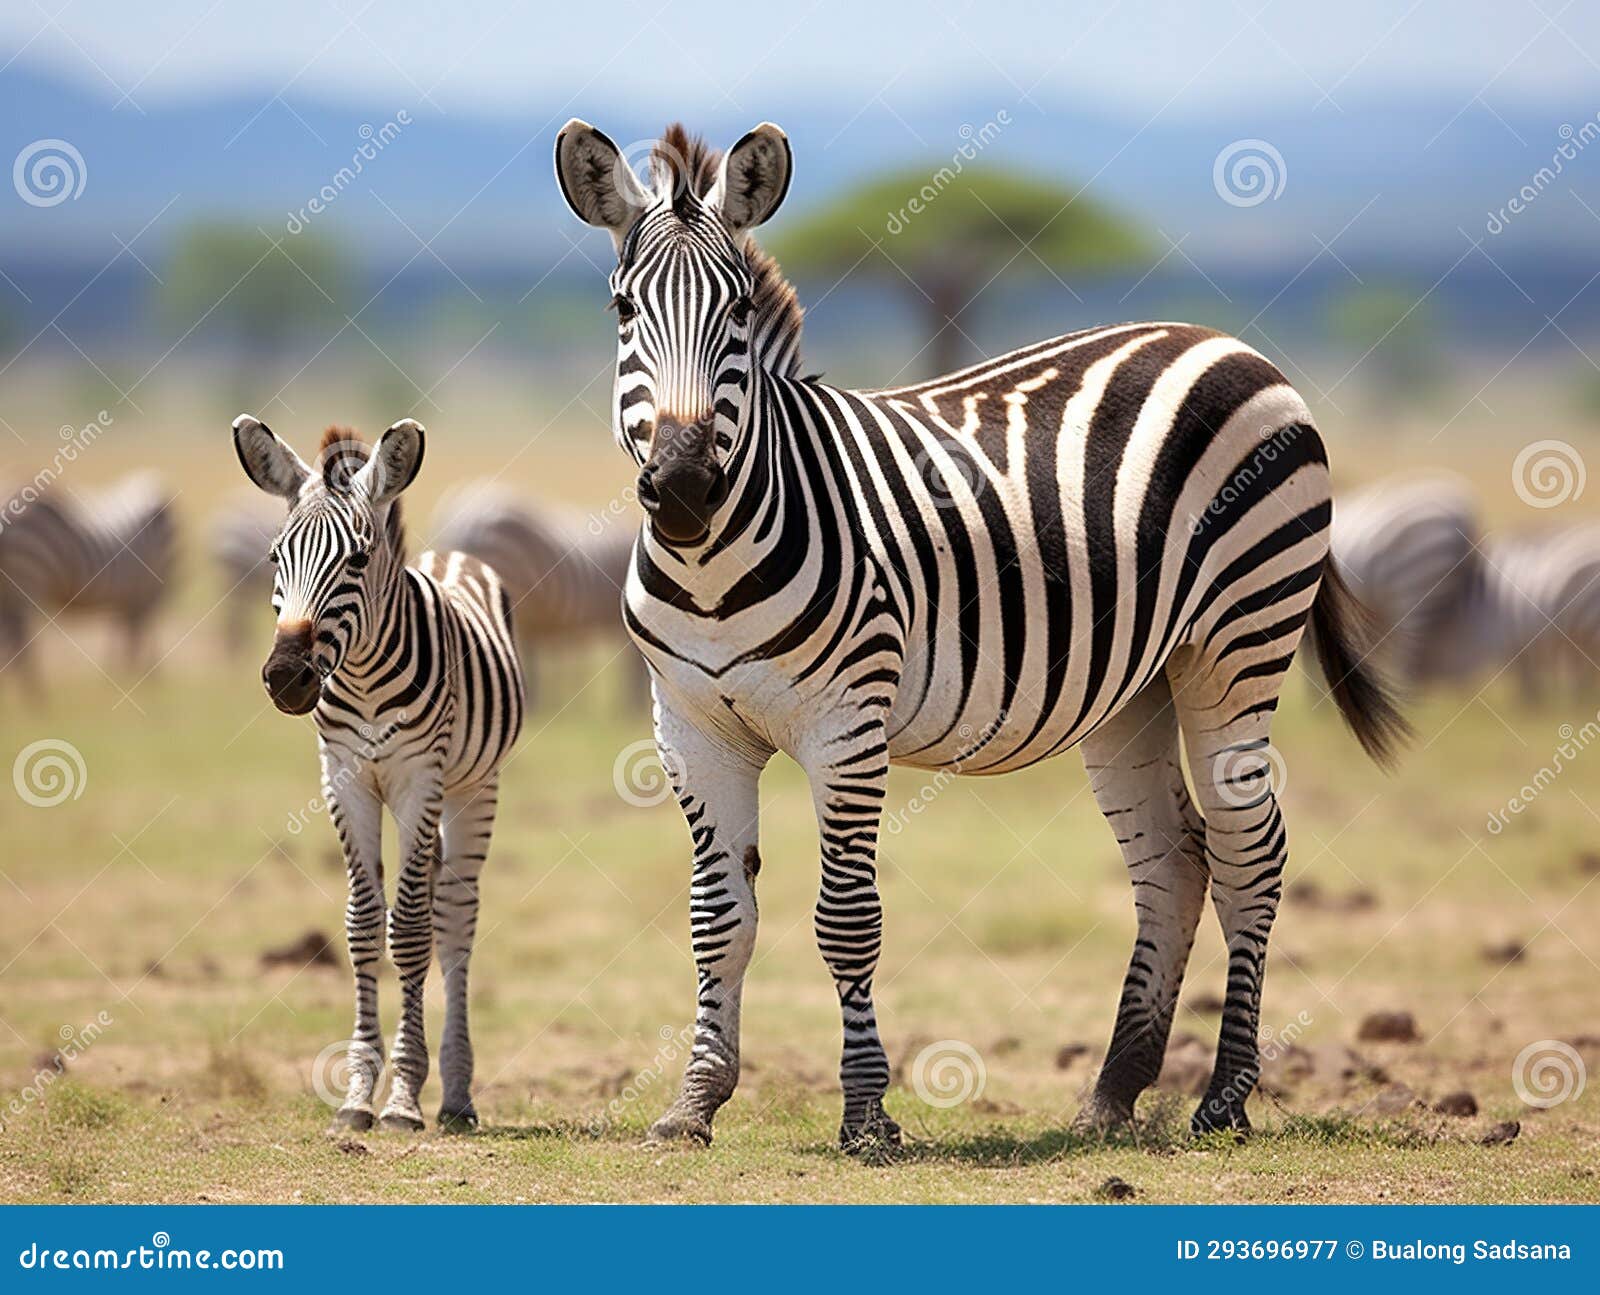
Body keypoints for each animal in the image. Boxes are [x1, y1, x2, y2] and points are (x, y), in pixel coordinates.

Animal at [0, 470, 177, 682]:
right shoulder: (148, 587)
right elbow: (136, 632)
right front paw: (138, 673)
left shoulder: (137, 591)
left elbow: (129, 631)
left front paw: (125, 673)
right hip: (28, 573)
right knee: (20, 644)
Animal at [232, 415, 524, 1132]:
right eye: (276, 558)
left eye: (358, 561)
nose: (286, 677)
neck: (362, 678)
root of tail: (444, 555)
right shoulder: (344, 778)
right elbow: (364, 925)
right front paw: (358, 1095)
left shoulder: (421, 779)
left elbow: (413, 932)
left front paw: (403, 1099)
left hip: (474, 788)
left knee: (455, 919)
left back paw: (456, 1095)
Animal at [555, 120, 1407, 1150]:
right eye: (621, 309)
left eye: (738, 311)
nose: (682, 488)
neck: (715, 566)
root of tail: (1223, 340)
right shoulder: (691, 727)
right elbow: (719, 919)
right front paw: (692, 1104)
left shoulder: (849, 724)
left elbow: (847, 917)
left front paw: (867, 1115)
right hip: (1137, 685)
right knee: (1174, 860)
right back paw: (1112, 1092)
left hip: (1239, 637)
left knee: (1251, 851)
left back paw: (1223, 1099)